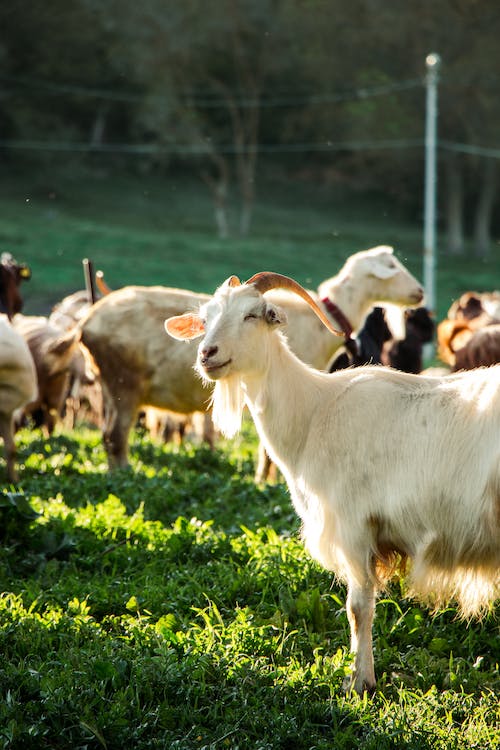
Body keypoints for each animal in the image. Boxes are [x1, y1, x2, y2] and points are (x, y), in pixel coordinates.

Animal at [166, 271, 500, 694]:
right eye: (205, 319)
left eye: (253, 314)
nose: (207, 354)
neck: (314, 412)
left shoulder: (354, 525)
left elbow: (358, 608)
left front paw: (360, 683)